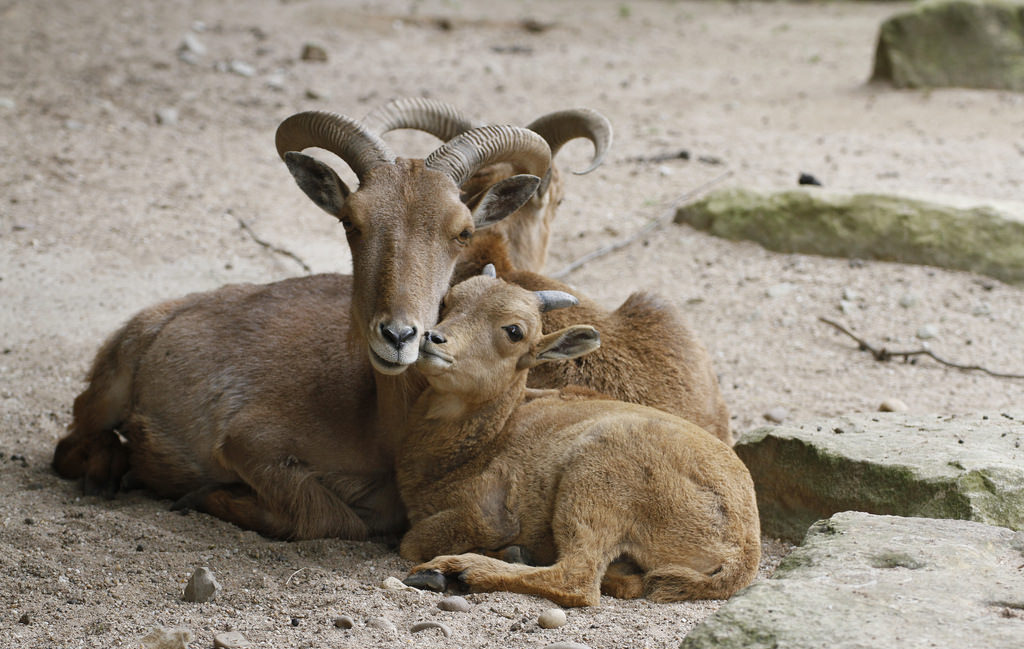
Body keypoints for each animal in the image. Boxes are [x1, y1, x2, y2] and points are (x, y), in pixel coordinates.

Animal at [397, 266, 761, 601]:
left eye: (514, 331)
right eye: (449, 301)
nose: (432, 339)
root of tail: (743, 548)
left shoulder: (489, 513)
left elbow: (411, 542)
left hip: (595, 479)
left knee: (578, 579)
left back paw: (457, 570)